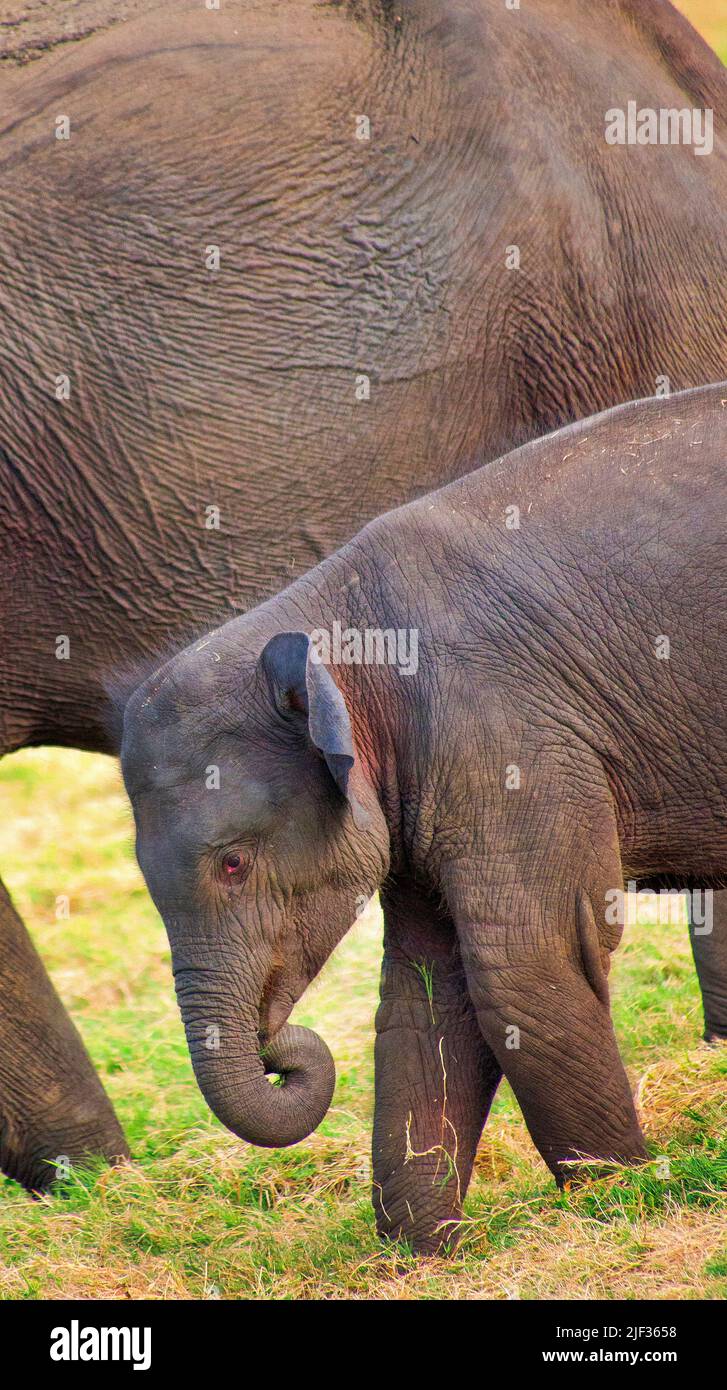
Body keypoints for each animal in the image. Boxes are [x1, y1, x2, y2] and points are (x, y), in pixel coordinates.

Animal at [120, 381, 727, 1253]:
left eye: (232, 864)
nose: (278, 1048)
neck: (330, 616)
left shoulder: (507, 740)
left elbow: (523, 965)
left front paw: (623, 1202)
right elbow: (425, 986)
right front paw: (419, 1251)